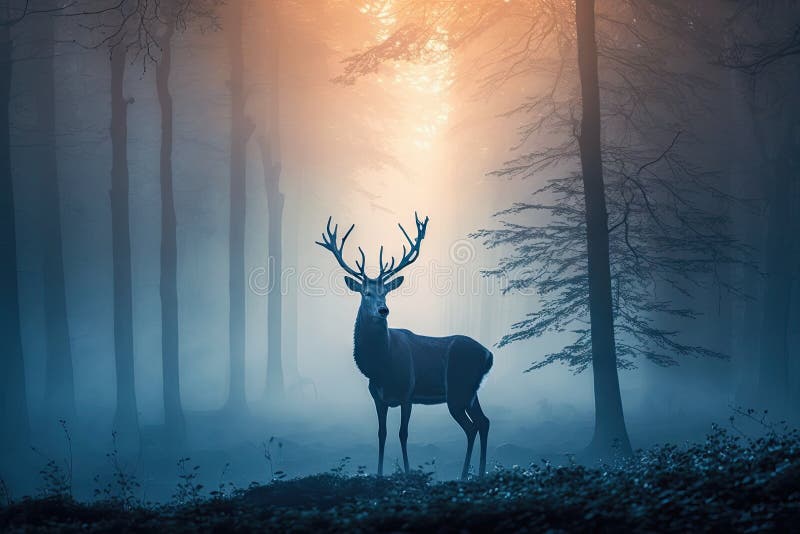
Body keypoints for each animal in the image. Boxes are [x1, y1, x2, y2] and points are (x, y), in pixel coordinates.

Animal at [316, 213, 493, 480]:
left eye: (386, 293)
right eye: (366, 293)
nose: (383, 310)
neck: (381, 366)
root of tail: (488, 355)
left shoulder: (408, 391)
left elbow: (403, 433)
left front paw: (409, 472)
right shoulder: (378, 397)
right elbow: (381, 434)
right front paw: (379, 473)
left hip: (458, 391)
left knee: (472, 427)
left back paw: (464, 475)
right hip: (471, 391)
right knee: (484, 421)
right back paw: (479, 474)